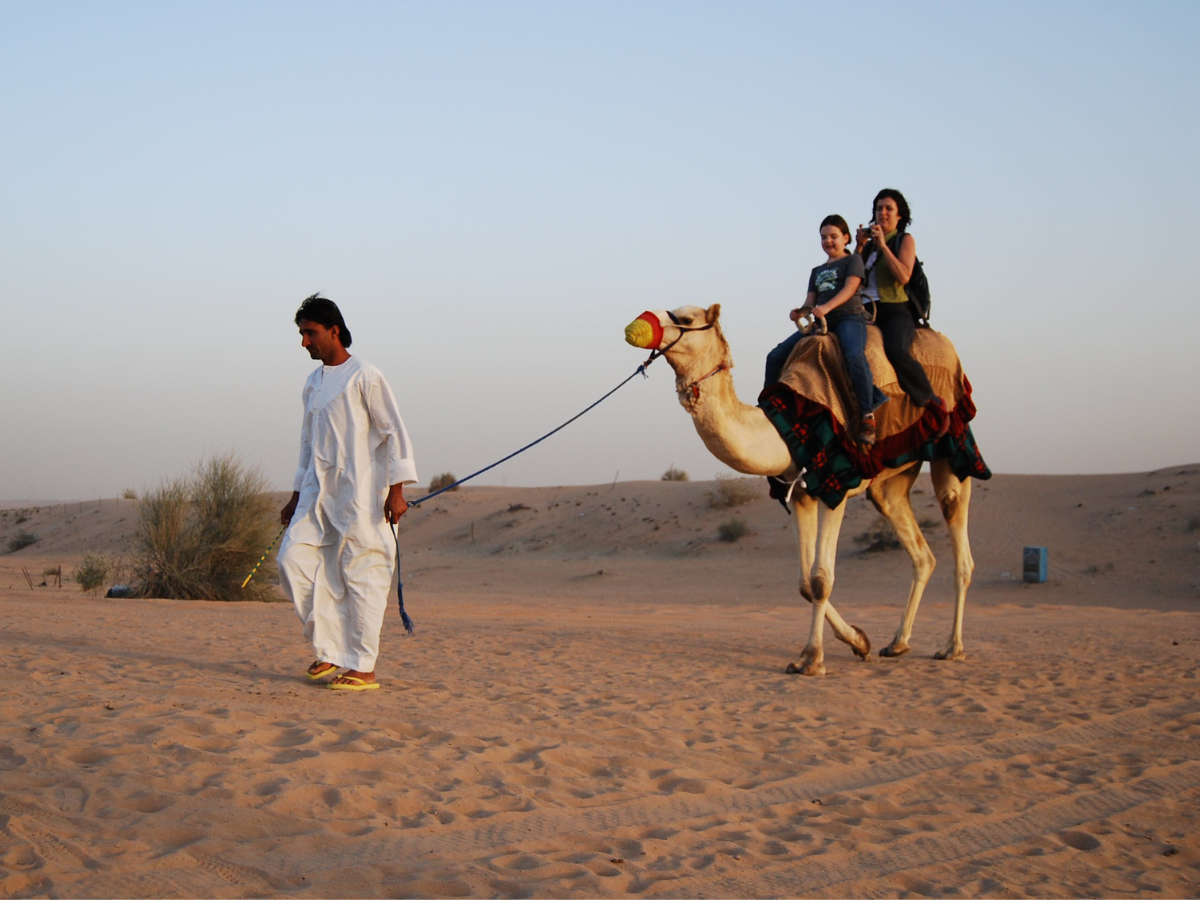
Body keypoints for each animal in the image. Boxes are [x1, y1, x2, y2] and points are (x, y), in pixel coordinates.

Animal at [625, 304, 980, 675]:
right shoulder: (799, 493)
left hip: (954, 445)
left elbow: (821, 579)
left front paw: (811, 659)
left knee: (959, 539)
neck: (787, 425)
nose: (637, 325)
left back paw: (952, 647)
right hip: (892, 480)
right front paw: (859, 641)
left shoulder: (836, 486)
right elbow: (805, 584)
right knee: (920, 550)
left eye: (686, 320)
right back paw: (897, 643)